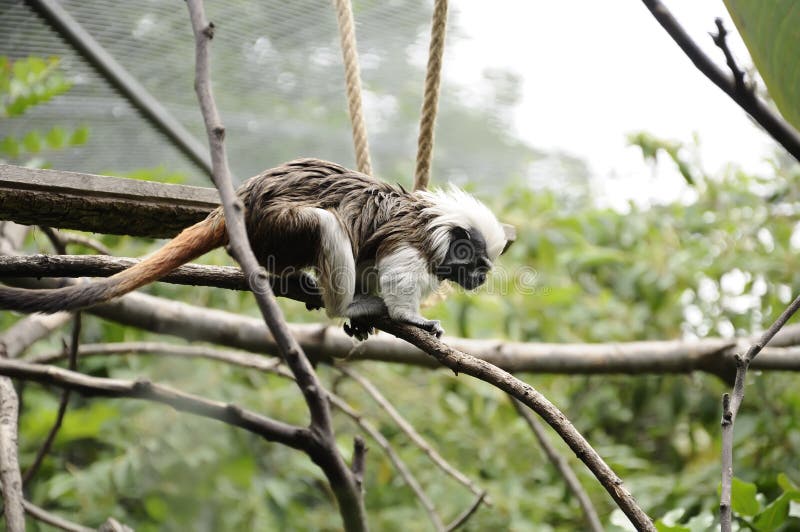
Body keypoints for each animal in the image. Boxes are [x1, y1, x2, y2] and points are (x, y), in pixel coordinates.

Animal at [0, 158, 508, 338]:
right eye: (473, 260)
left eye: (485, 266)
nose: (481, 277)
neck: (435, 227)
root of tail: (238, 203)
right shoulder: (411, 243)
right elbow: (396, 276)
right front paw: (405, 317)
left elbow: (369, 261)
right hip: (277, 224)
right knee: (324, 223)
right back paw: (345, 304)